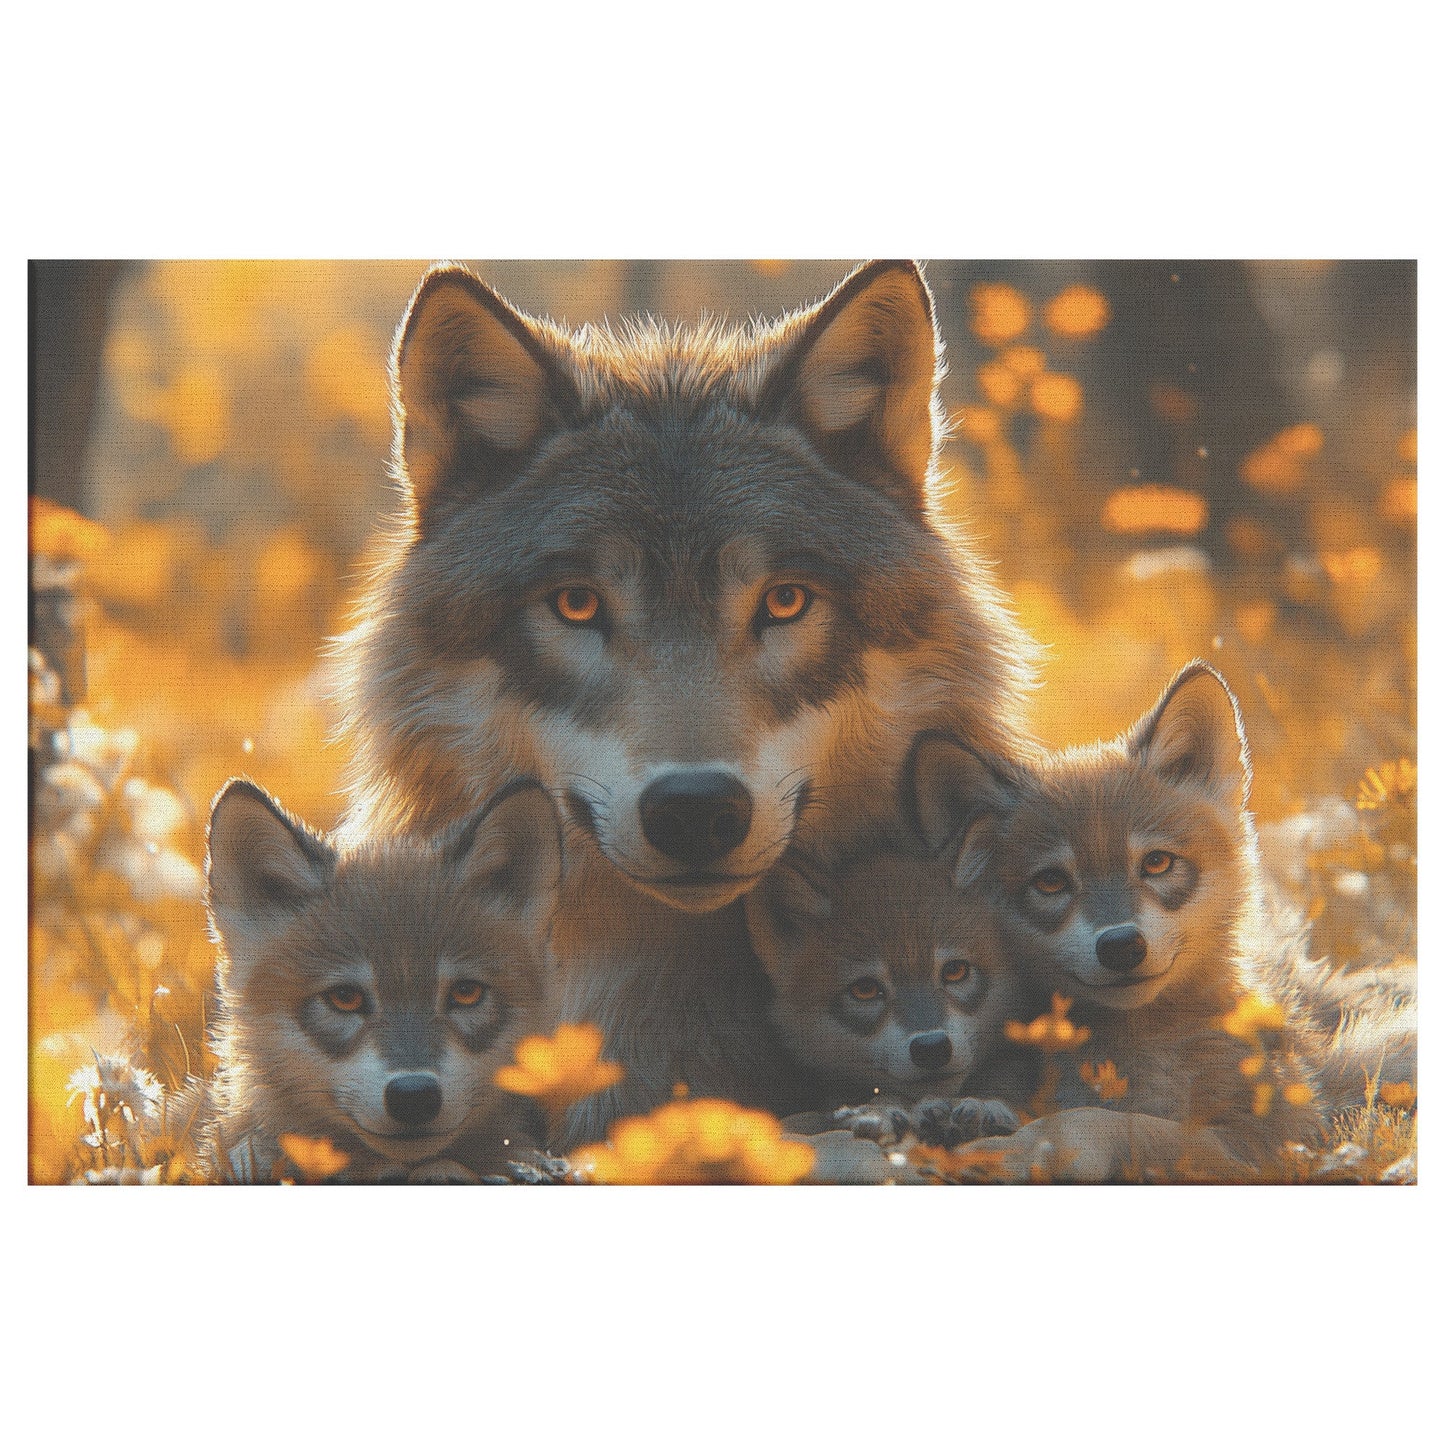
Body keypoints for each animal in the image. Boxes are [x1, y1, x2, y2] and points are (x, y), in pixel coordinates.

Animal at [908, 662, 1329, 1181]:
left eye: (1157, 863)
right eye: (1051, 882)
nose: (1122, 945)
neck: (1136, 1055)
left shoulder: (1277, 1142)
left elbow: (1101, 1121)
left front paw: (1013, 1149)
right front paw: (975, 1116)